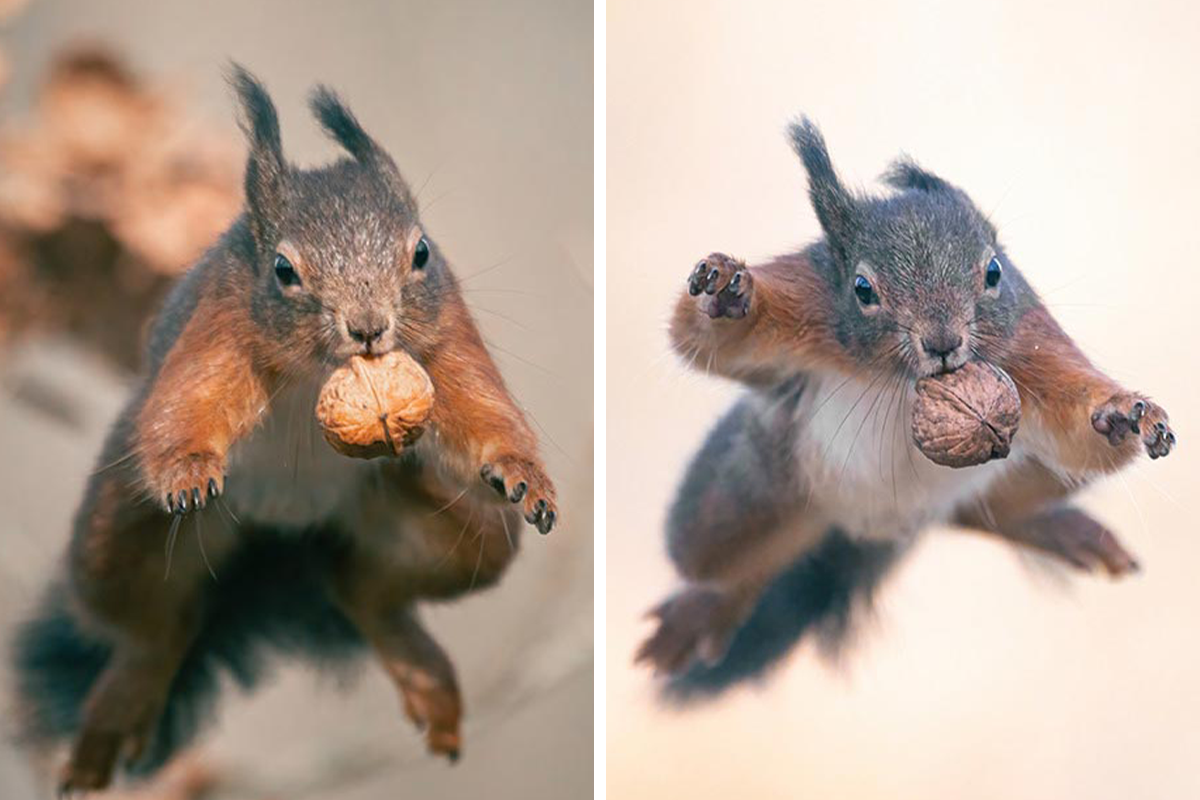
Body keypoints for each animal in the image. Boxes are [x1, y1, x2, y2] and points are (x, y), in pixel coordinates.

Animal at [10, 65, 558, 793]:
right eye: (282, 269)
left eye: (420, 252)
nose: (369, 327)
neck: (321, 370)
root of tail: (282, 535)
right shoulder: (217, 330)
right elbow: (187, 405)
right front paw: (188, 468)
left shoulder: (444, 338)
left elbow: (480, 407)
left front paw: (524, 475)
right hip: (115, 539)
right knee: (153, 628)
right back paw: (111, 719)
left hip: (450, 534)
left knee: (364, 591)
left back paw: (423, 677)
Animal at [636, 118, 1175, 700]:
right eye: (862, 288)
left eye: (993, 271)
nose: (942, 342)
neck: (910, 381)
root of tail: (863, 527)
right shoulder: (806, 304)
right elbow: (703, 341)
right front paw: (729, 294)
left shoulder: (1028, 348)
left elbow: (1079, 431)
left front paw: (1122, 415)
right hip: (742, 494)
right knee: (723, 565)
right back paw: (705, 611)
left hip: (1029, 476)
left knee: (986, 513)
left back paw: (1053, 527)